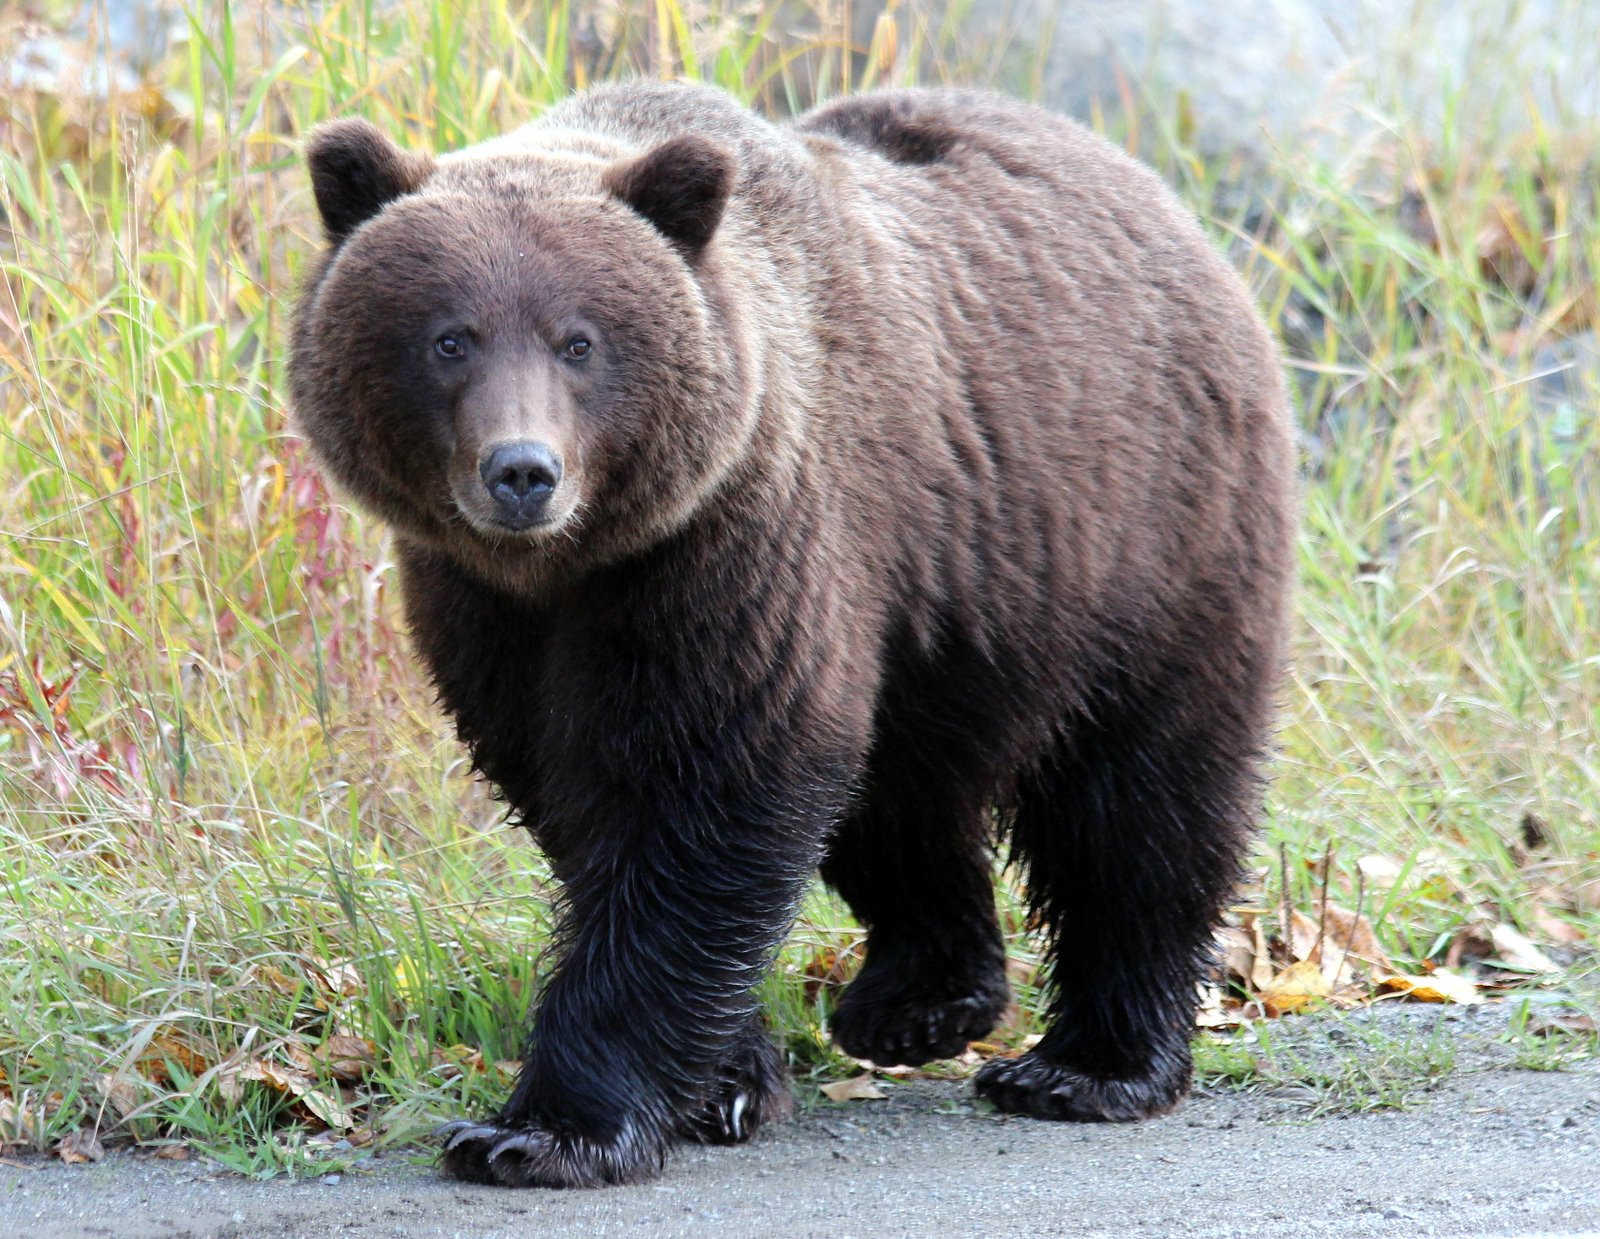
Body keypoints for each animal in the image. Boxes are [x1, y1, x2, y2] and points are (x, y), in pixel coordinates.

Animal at [289, 81, 1296, 1189]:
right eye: (449, 338)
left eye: (577, 340)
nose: (522, 471)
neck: (570, 569)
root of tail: (1165, 203)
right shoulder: (490, 613)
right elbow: (587, 804)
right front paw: (726, 1082)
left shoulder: (729, 546)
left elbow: (701, 794)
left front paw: (545, 1128)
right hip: (940, 617)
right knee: (900, 796)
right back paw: (916, 999)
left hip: (1136, 540)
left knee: (1138, 803)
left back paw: (1087, 1064)